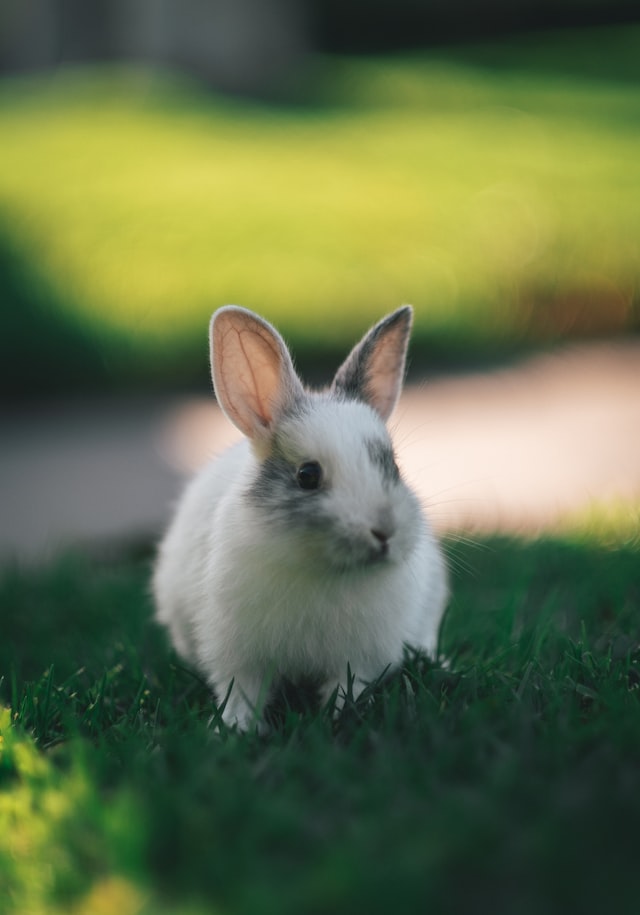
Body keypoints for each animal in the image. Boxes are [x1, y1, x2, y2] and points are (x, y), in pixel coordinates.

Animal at [153, 305, 448, 731]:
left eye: (392, 466)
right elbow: (241, 691)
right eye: (307, 475)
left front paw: (336, 716)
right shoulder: (238, 655)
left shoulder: (359, 658)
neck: (323, 570)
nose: (385, 533)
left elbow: (347, 686)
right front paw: (236, 728)